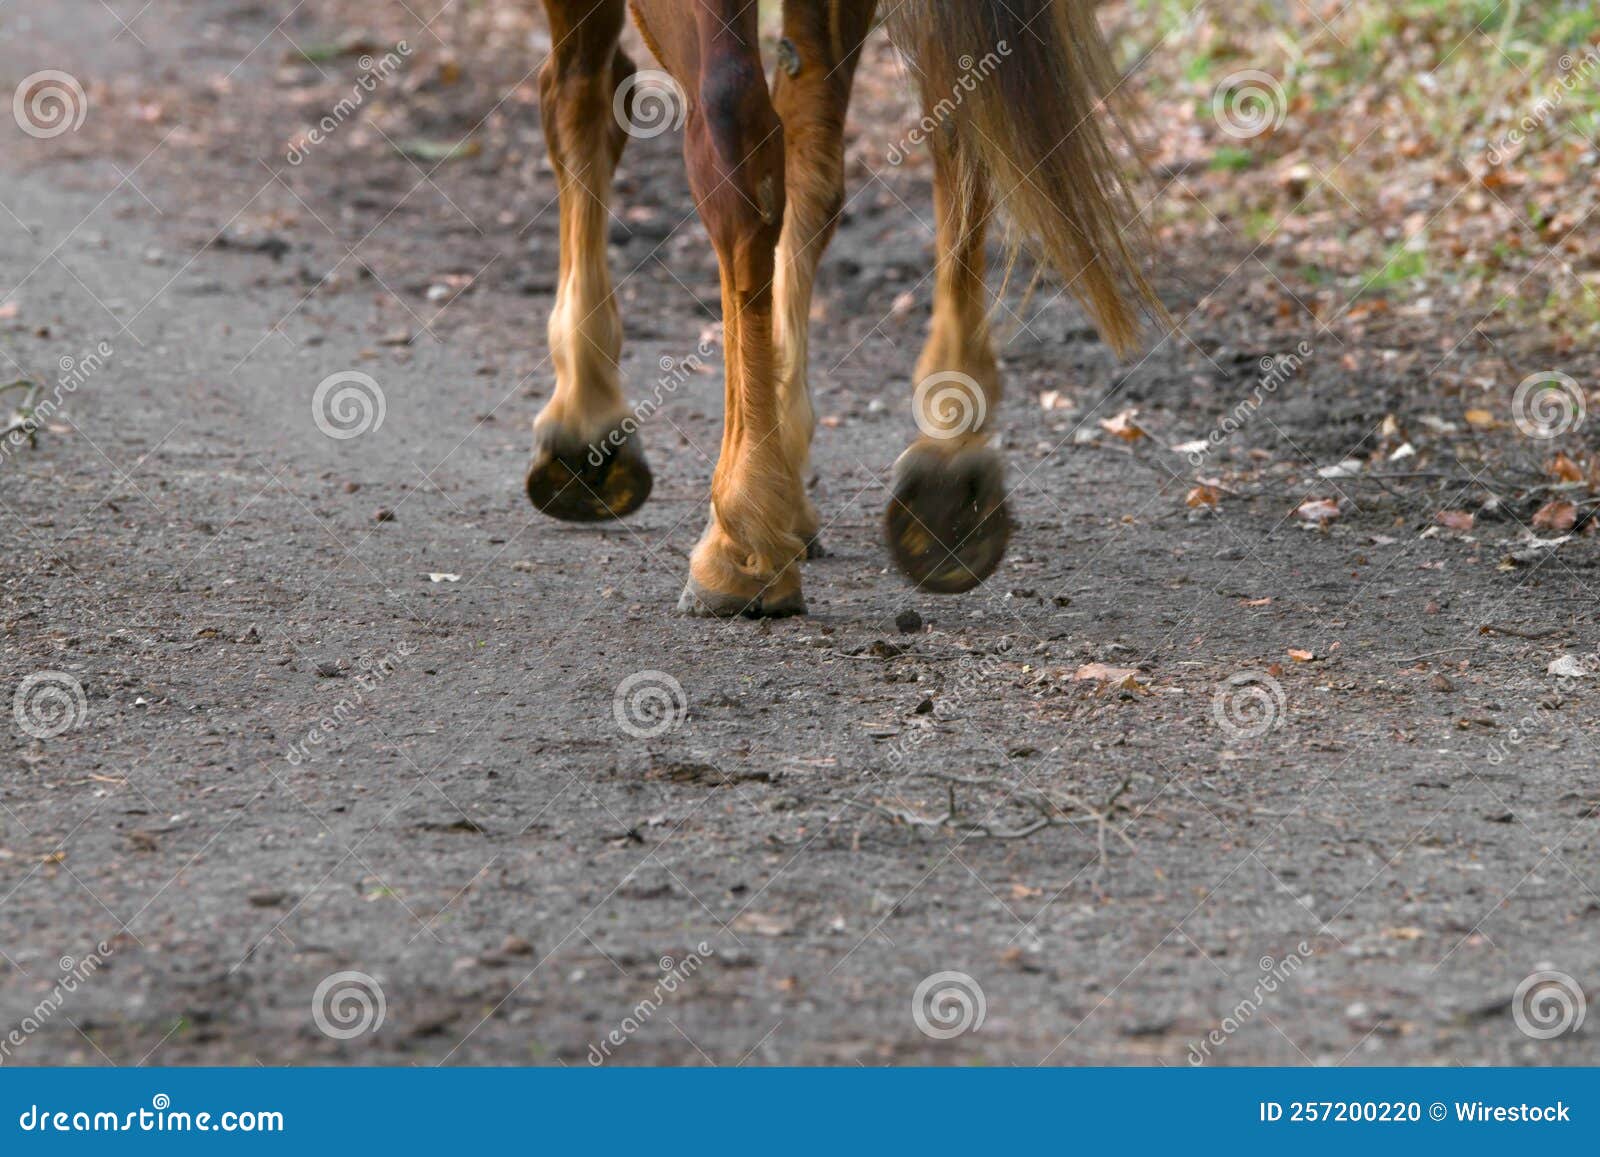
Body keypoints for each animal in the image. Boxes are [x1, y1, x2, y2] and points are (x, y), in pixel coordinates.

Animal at [522, 0, 1157, 616]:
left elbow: (580, 97)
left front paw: (585, 420)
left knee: (728, 133)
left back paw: (742, 543)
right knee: (901, 120)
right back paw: (946, 461)